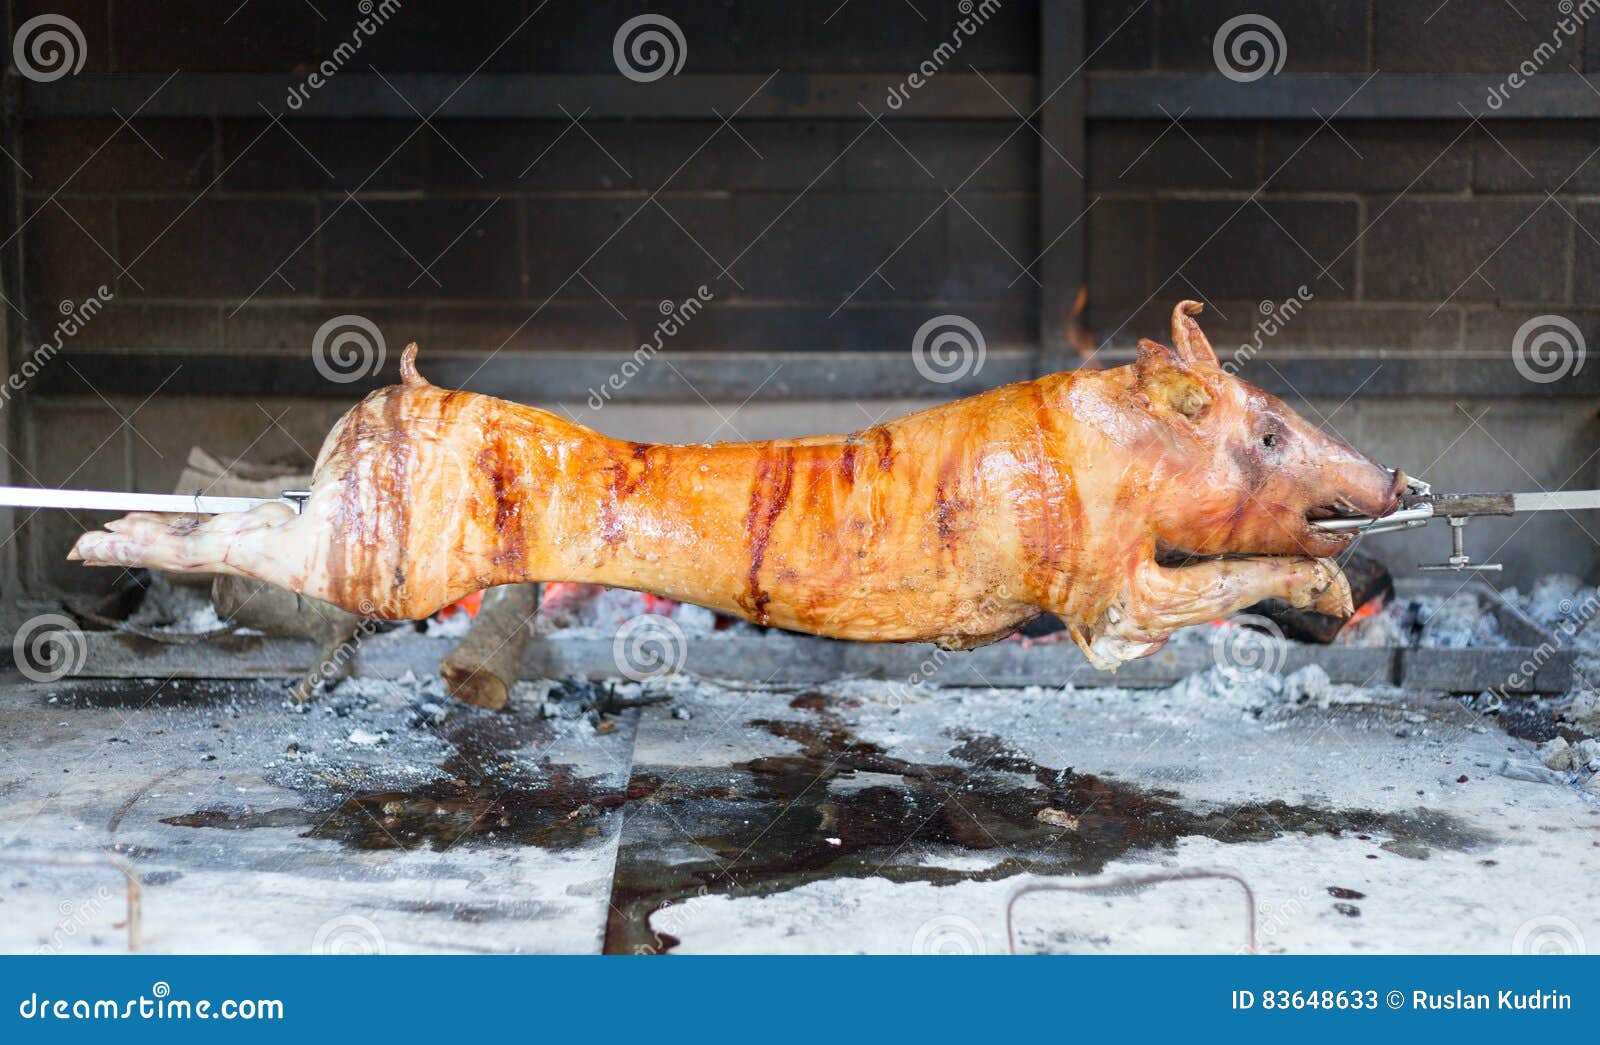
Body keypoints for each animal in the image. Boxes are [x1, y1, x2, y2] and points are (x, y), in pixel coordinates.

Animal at [69, 301, 1403, 670]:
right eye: (1267, 433)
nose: (1391, 475)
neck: (1116, 445)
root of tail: (389, 406)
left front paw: (1344, 584)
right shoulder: (1102, 596)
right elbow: (1175, 601)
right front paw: (1332, 588)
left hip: (359, 530)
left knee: (262, 519)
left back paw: (109, 531)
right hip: (386, 559)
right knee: (262, 544)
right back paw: (105, 543)